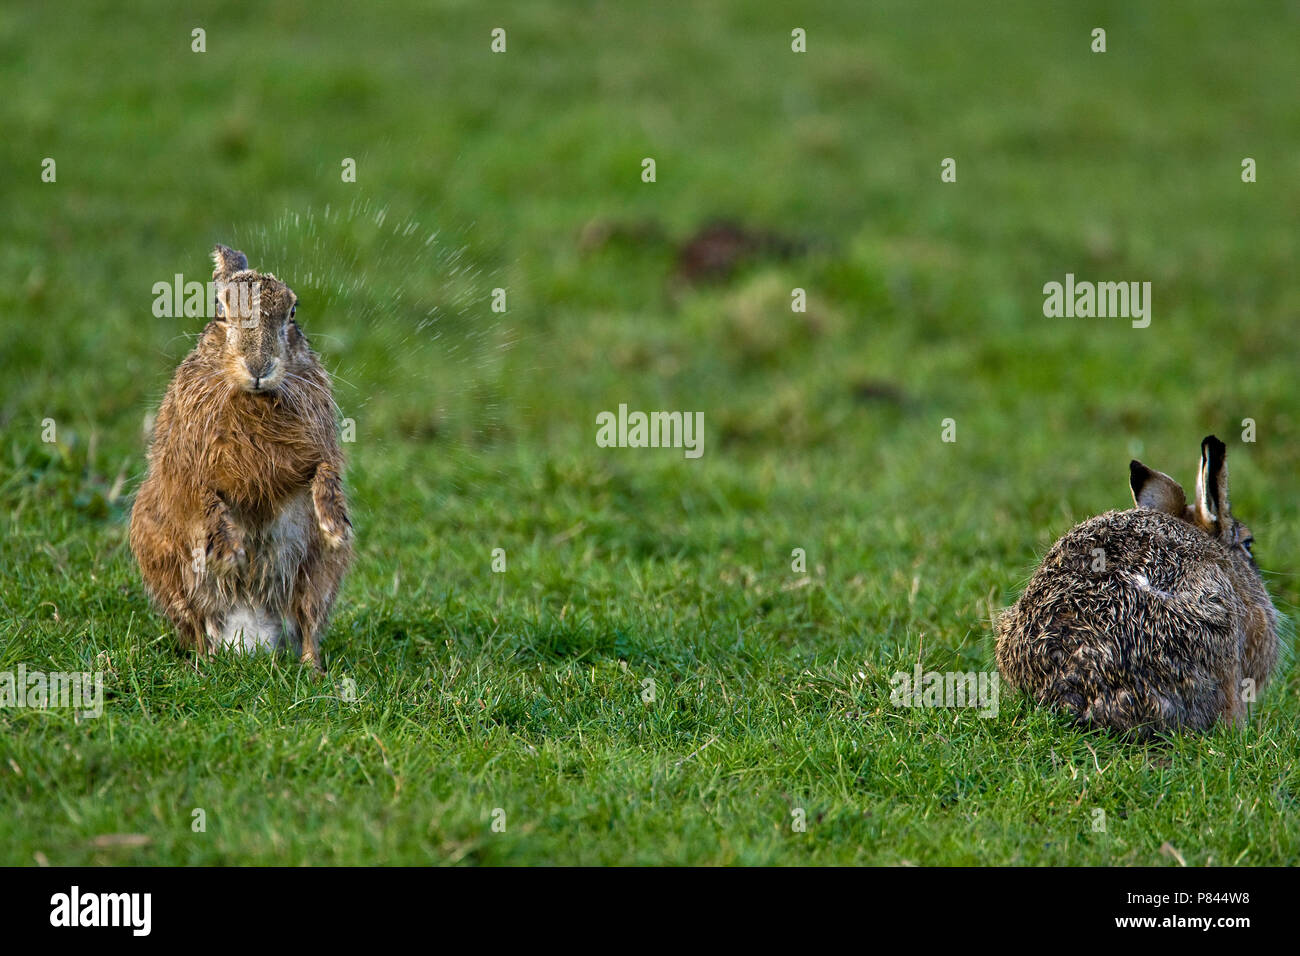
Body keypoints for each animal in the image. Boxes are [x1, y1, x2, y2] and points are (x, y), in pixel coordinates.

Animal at [129, 244, 353, 671]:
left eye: (292, 312)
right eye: (220, 312)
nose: (259, 367)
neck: (254, 399)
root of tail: (250, 632)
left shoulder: (317, 448)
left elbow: (324, 470)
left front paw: (335, 523)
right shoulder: (191, 466)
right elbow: (205, 498)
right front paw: (231, 552)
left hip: (321, 572)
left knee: (307, 620)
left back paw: (313, 671)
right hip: (163, 561)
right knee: (196, 622)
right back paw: (205, 665)